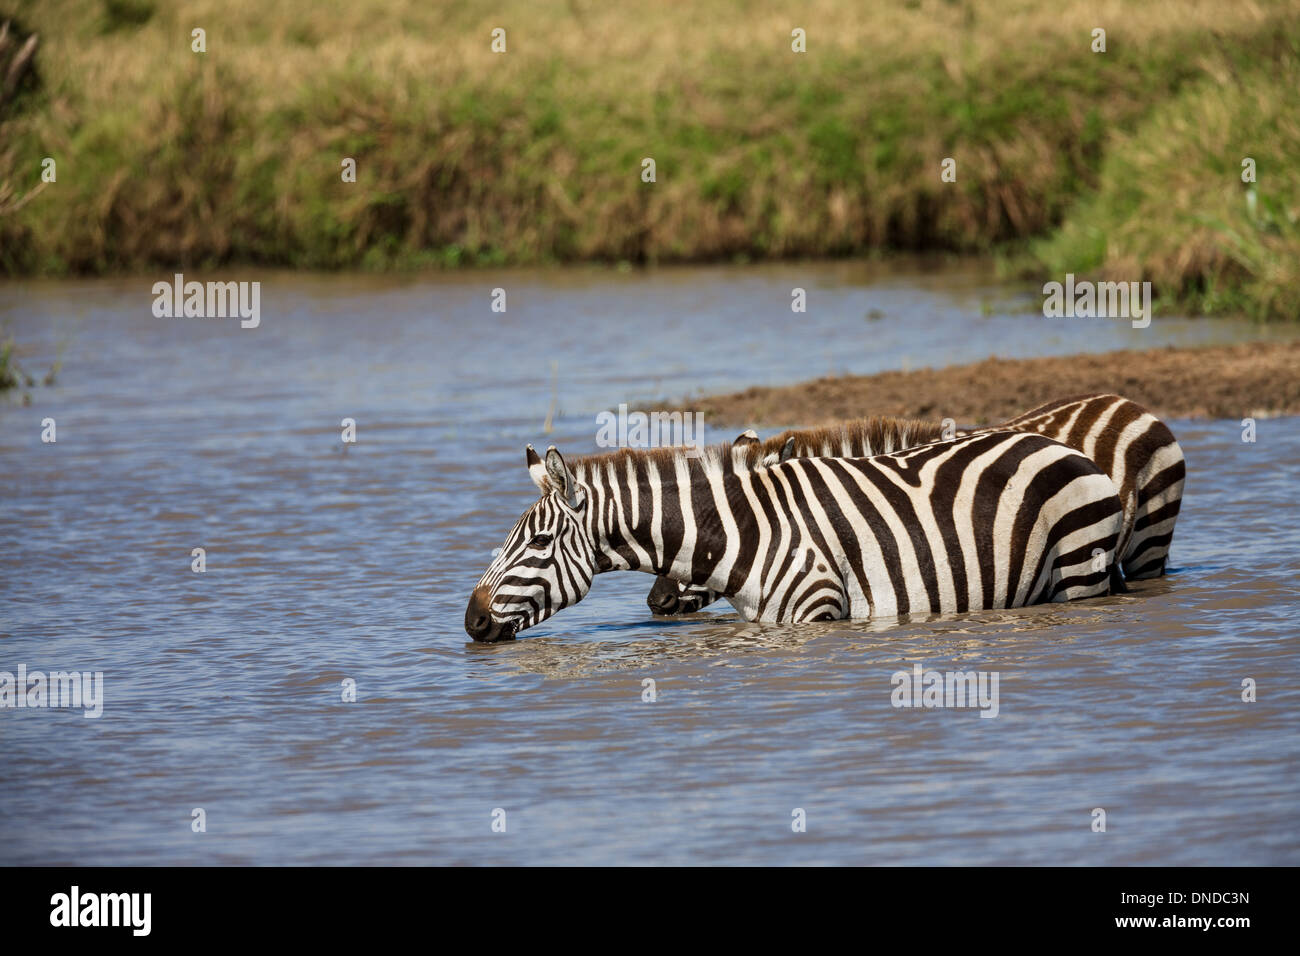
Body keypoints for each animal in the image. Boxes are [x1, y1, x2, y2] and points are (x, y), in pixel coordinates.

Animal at [464, 431, 1126, 641]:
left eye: (538, 545)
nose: (470, 623)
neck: (747, 533)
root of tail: (1060, 444)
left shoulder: (817, 612)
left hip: (1080, 577)